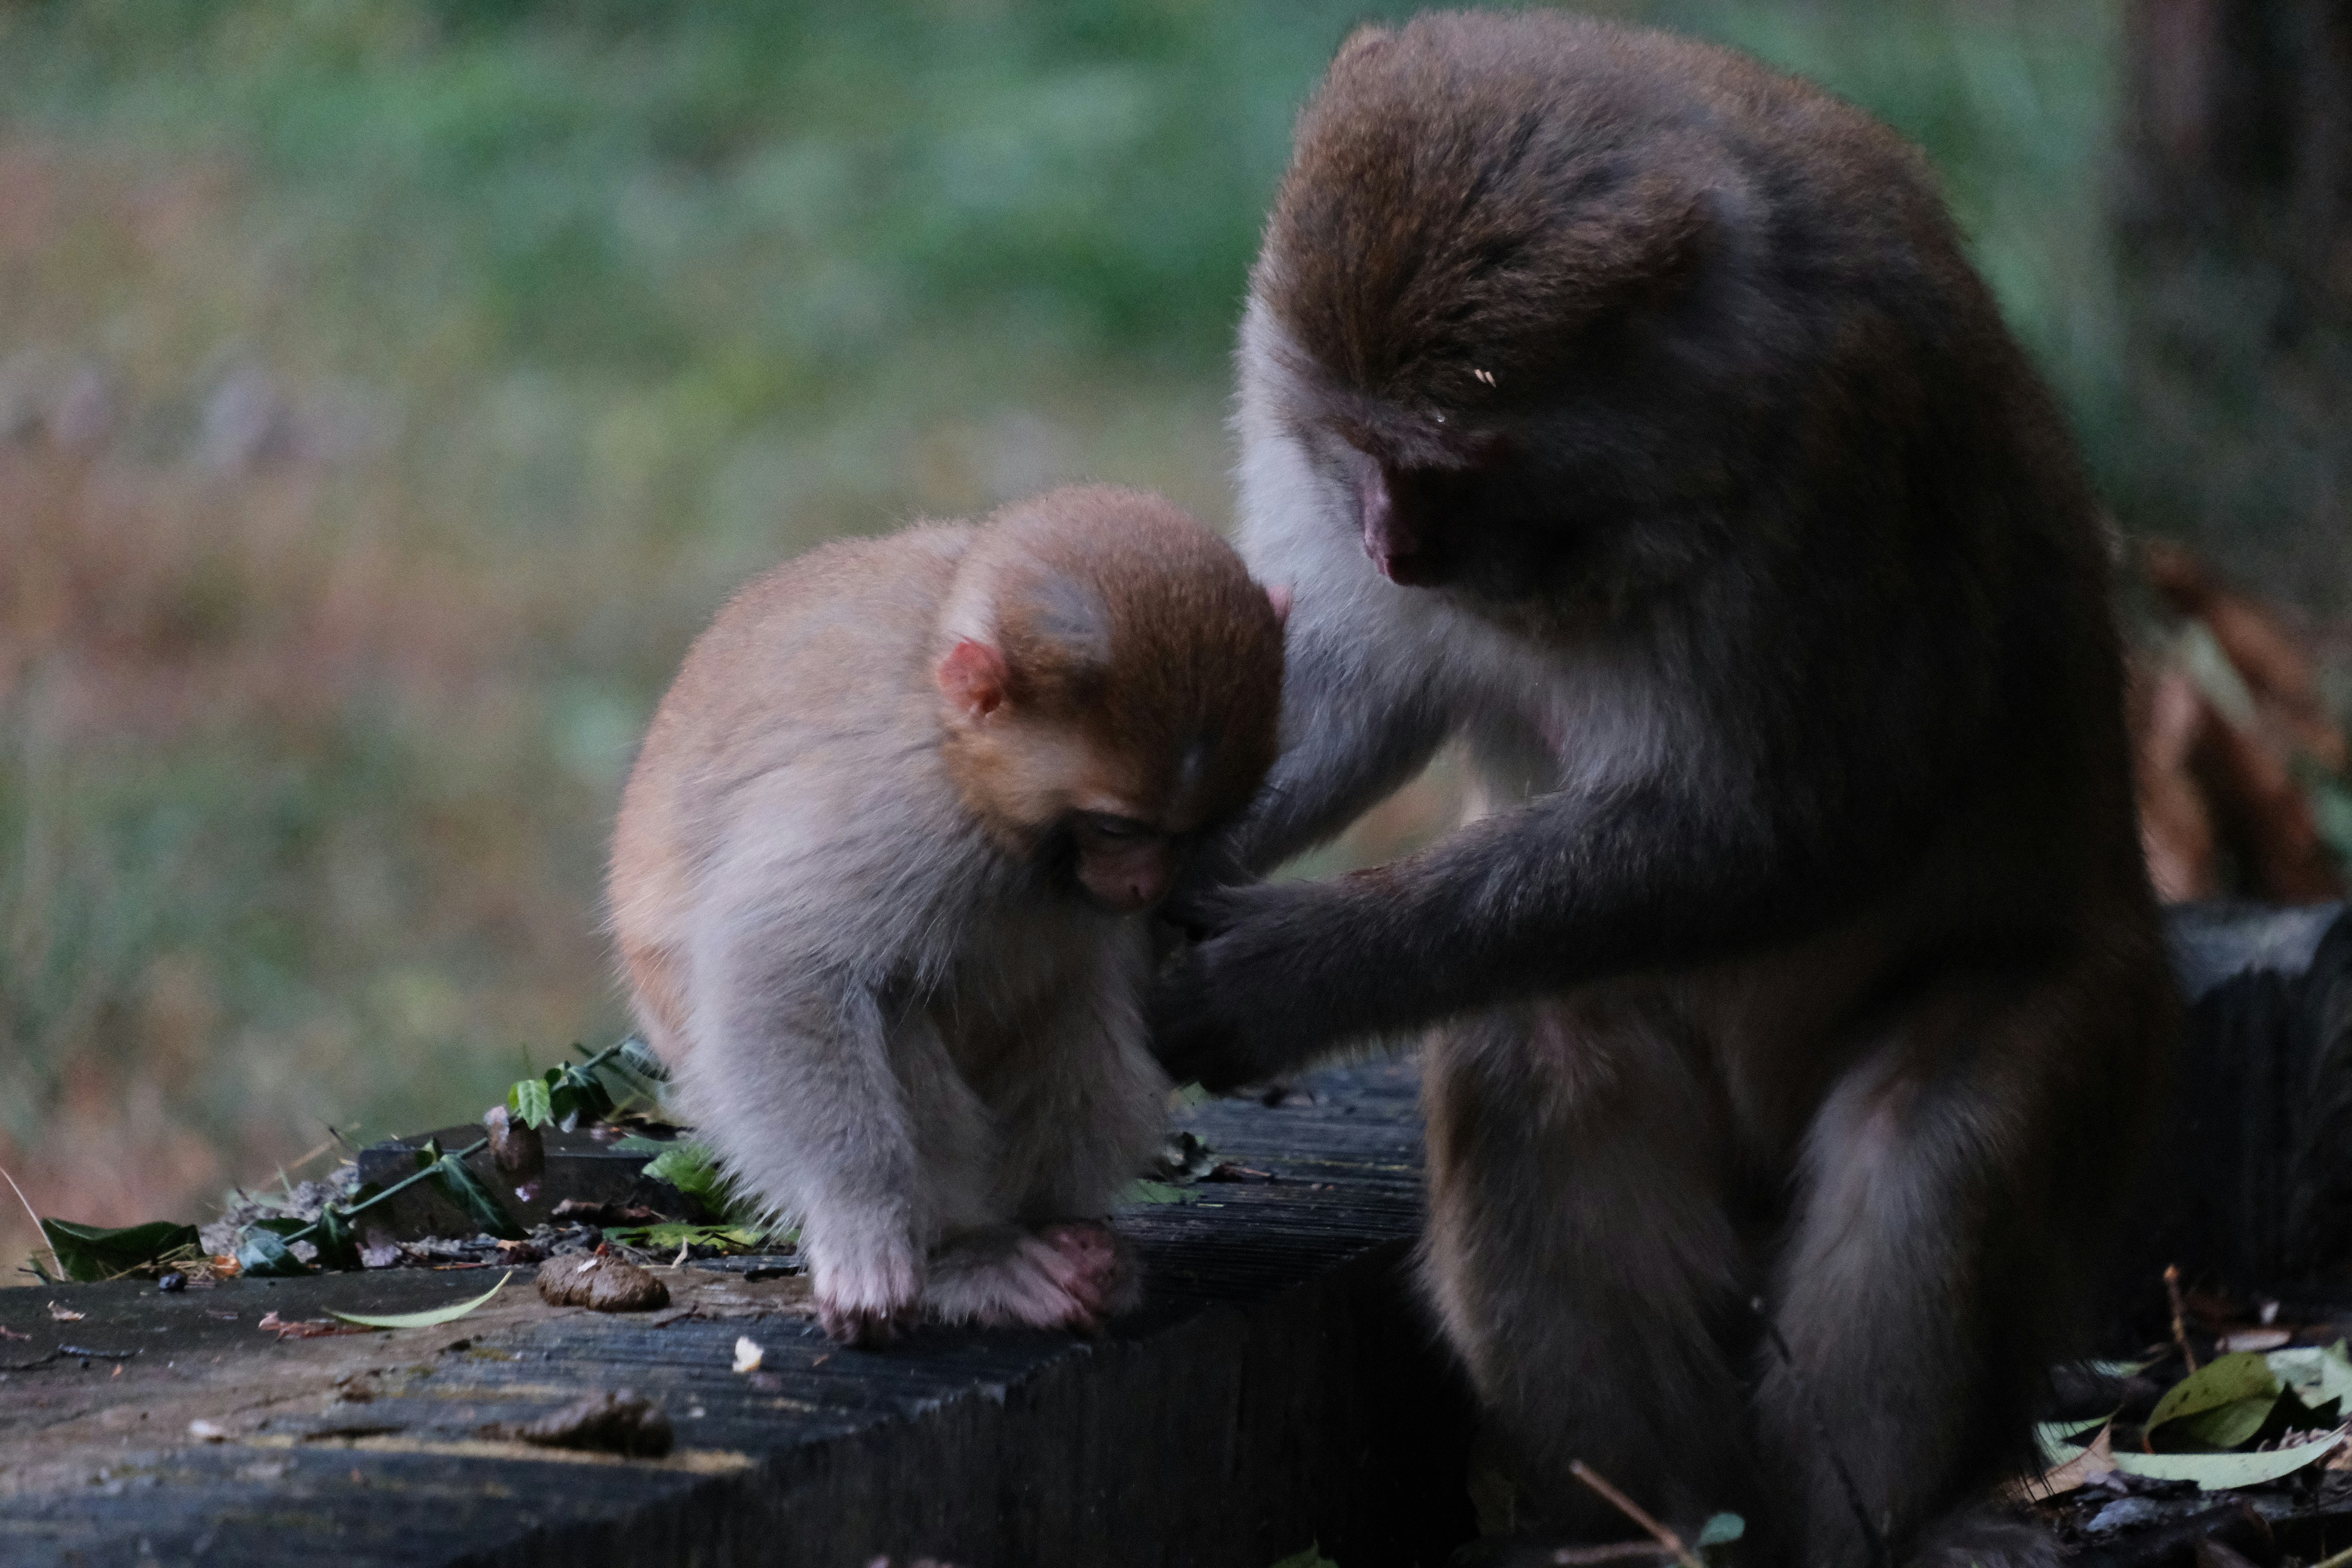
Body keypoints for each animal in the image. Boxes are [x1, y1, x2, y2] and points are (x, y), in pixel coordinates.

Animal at [611, 485, 1284, 1346]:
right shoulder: (903, 806)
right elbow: (781, 962)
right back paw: (969, 1258)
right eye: (1115, 828)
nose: (1143, 886)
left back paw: (1060, 1235)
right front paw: (860, 1214)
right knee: (891, 1004)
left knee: (1076, 1013)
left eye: (1193, 832)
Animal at [1150, 14, 2174, 1566]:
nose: (1391, 547)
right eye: (1352, 449)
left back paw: (1875, 1526)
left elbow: (1776, 833)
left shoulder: (1844, 449)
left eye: (1447, 460)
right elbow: (1335, 693)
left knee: (1926, 1151)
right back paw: (1648, 1516)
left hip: (2085, 1021)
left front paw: (1274, 972)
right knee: (1533, 1052)